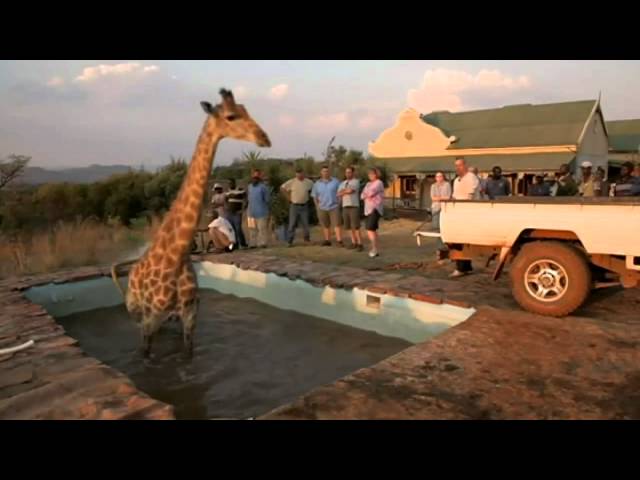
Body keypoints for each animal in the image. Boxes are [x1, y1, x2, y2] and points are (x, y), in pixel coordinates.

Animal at [111, 88, 271, 357]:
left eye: (245, 109)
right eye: (230, 116)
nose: (264, 138)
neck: (175, 257)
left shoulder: (189, 315)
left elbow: (187, 356)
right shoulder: (151, 318)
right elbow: (146, 357)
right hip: (137, 312)